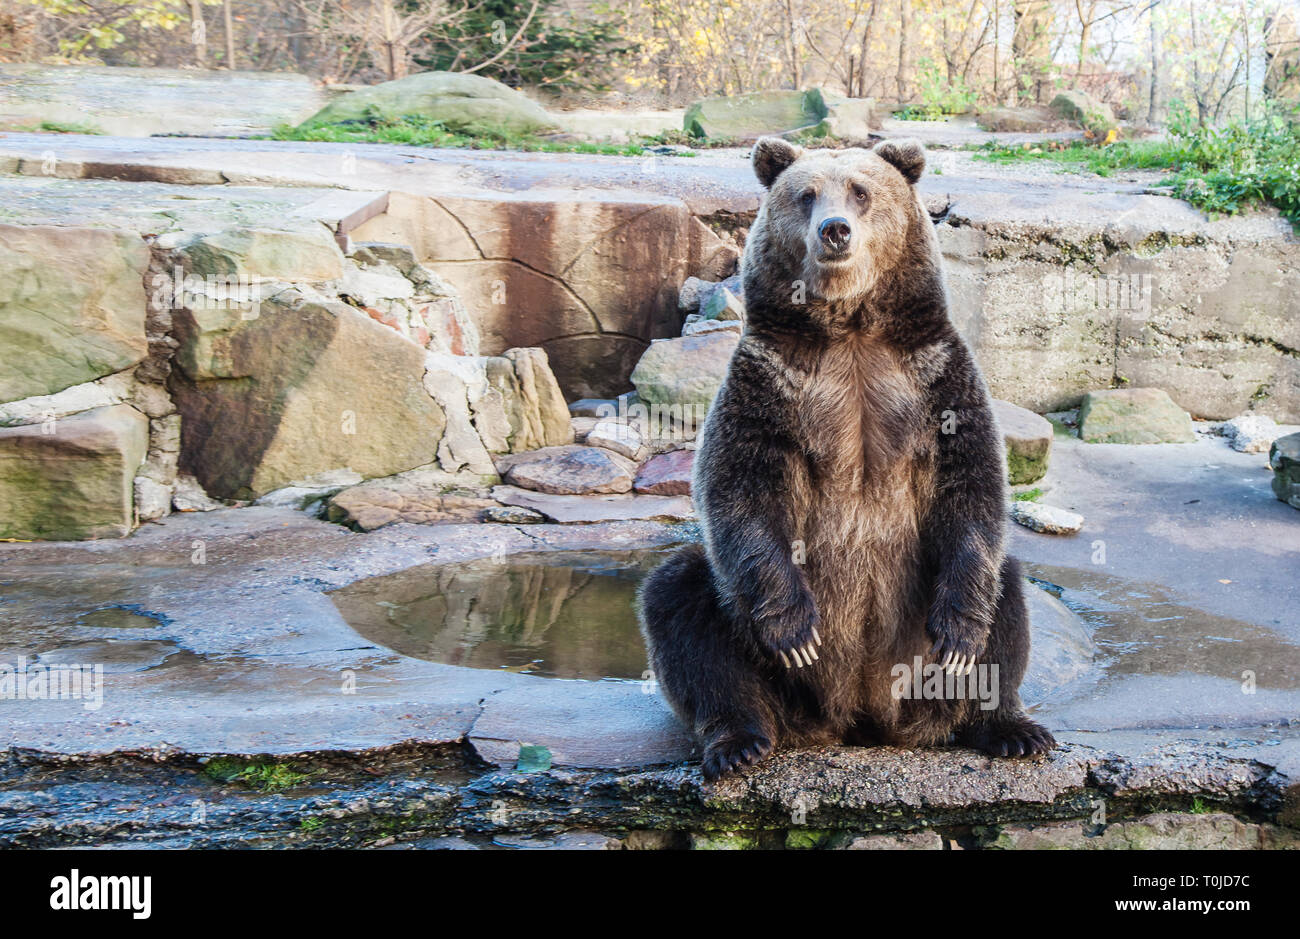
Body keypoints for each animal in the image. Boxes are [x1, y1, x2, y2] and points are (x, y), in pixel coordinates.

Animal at [637, 136, 1055, 781]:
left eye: (861, 191)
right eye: (807, 194)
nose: (835, 230)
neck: (851, 327)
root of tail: (860, 716)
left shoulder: (936, 379)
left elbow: (971, 488)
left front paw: (961, 638)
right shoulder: (768, 381)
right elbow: (741, 490)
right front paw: (796, 632)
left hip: (920, 664)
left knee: (1005, 593)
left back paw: (1008, 727)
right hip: (772, 669)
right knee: (682, 603)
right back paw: (738, 741)